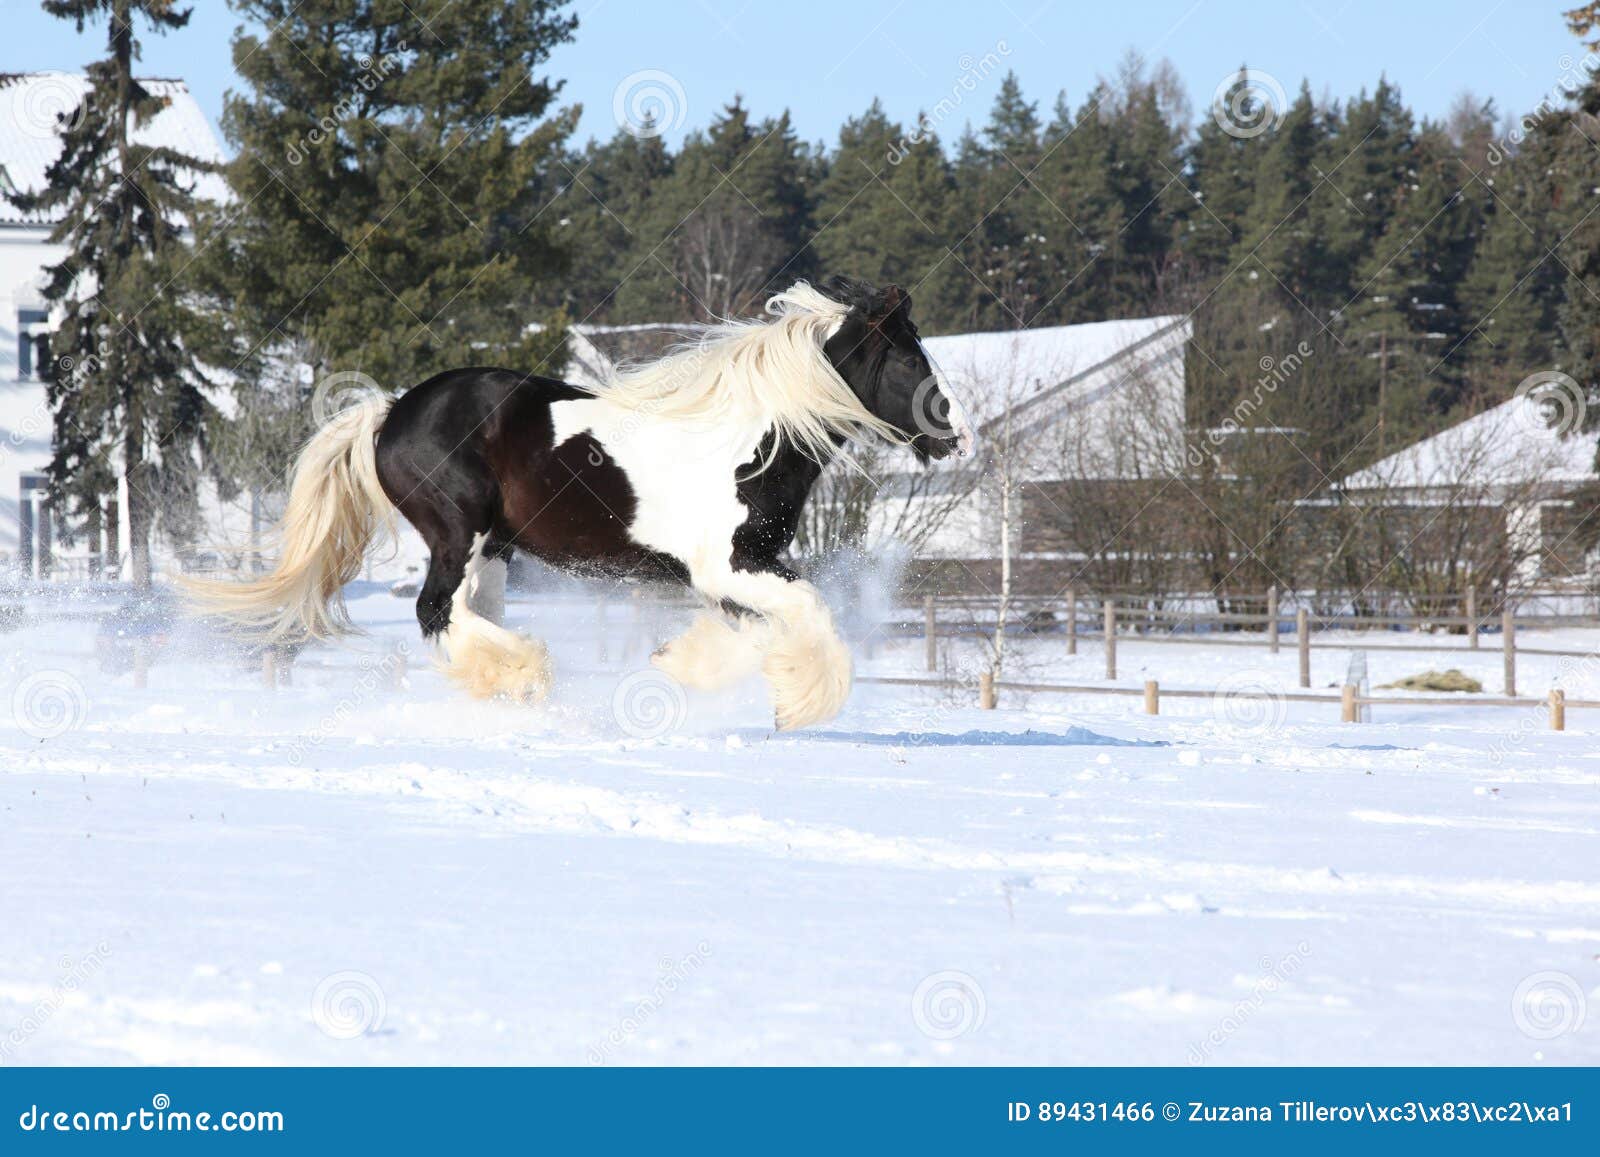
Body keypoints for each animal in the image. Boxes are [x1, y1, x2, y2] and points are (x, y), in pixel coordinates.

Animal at [184, 277, 973, 731]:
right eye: (910, 358)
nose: (957, 437)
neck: (753, 439)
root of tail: (389, 413)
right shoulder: (731, 566)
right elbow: (812, 611)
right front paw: (800, 703)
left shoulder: (741, 572)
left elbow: (757, 630)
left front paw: (678, 663)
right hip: (457, 533)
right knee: (435, 611)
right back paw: (528, 676)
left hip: (494, 552)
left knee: (465, 615)